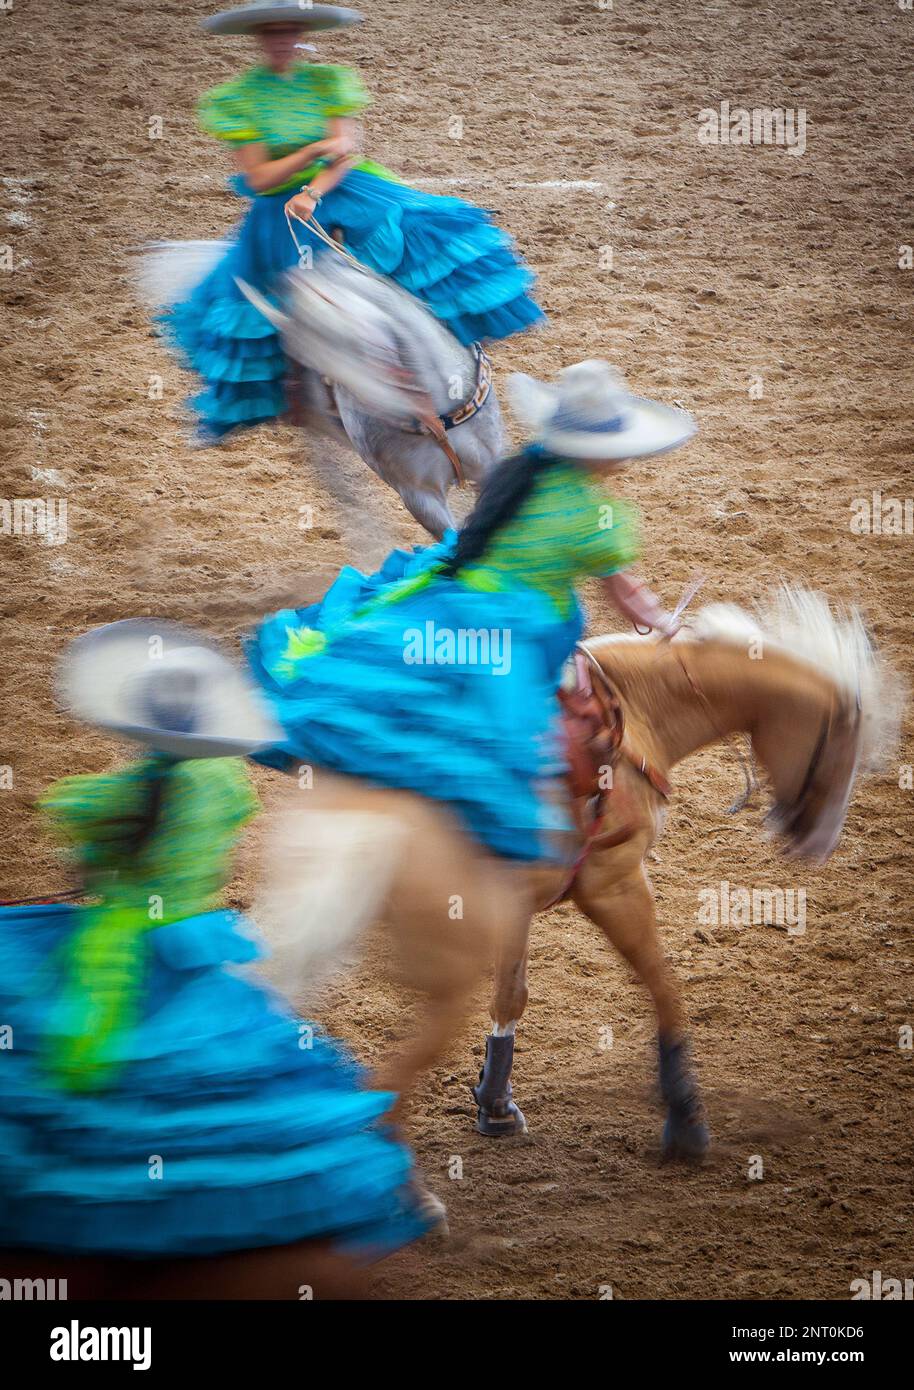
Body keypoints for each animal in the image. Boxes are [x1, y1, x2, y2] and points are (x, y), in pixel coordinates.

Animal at [255, 587, 900, 1170]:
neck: (636, 713)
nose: (818, 844)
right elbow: (664, 985)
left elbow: (512, 995)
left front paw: (494, 1104)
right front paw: (685, 1120)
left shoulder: (518, 903)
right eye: (846, 748)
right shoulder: (614, 883)